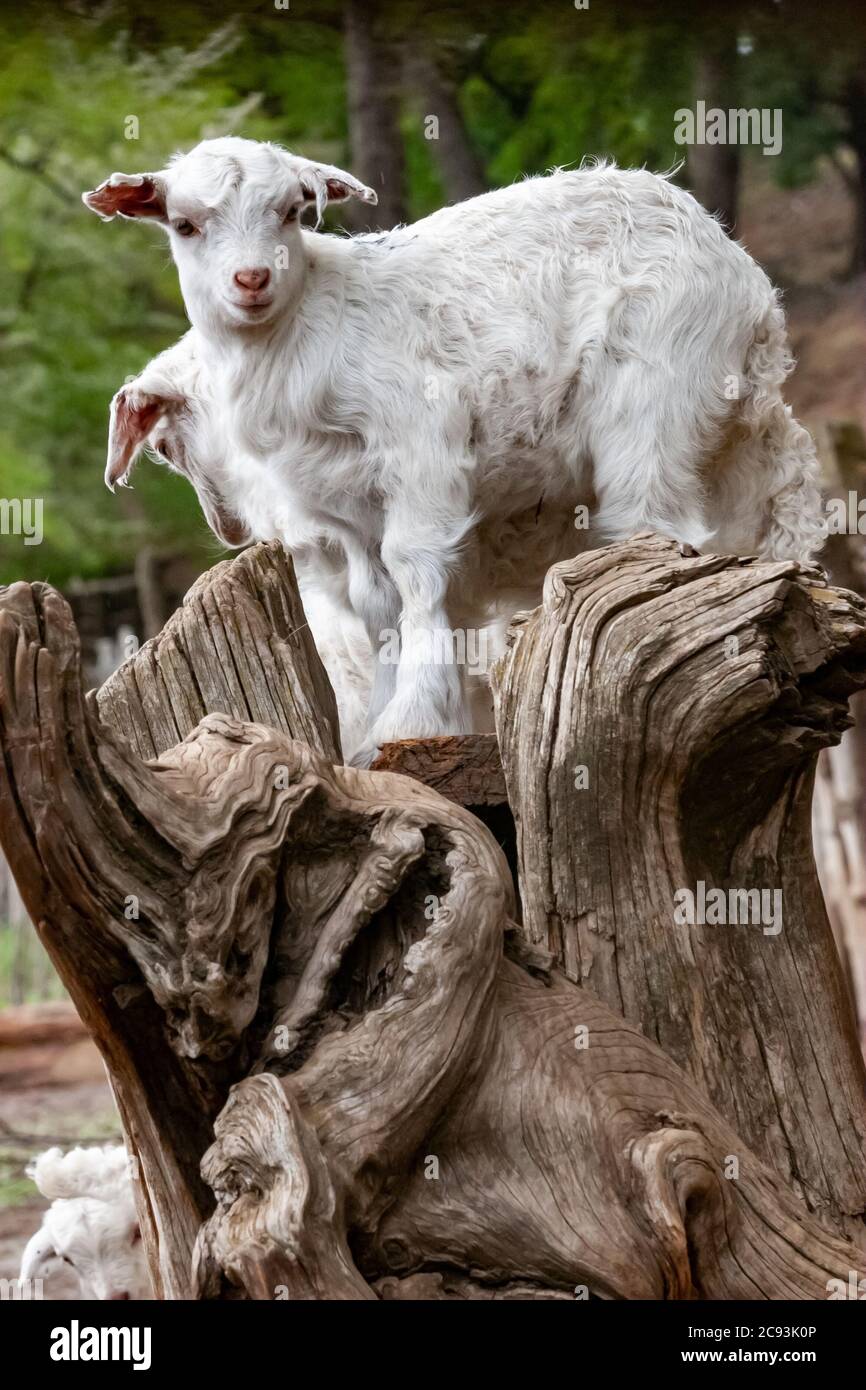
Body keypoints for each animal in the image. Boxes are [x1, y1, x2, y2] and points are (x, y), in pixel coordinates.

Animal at [84, 137, 825, 764]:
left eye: (292, 211)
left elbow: (415, 574)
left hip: (654, 394)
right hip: (726, 428)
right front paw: (377, 729)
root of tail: (744, 279)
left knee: (653, 524)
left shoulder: (420, 449)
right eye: (184, 225)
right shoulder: (346, 510)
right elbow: (379, 605)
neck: (308, 329)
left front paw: (413, 717)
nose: (252, 278)